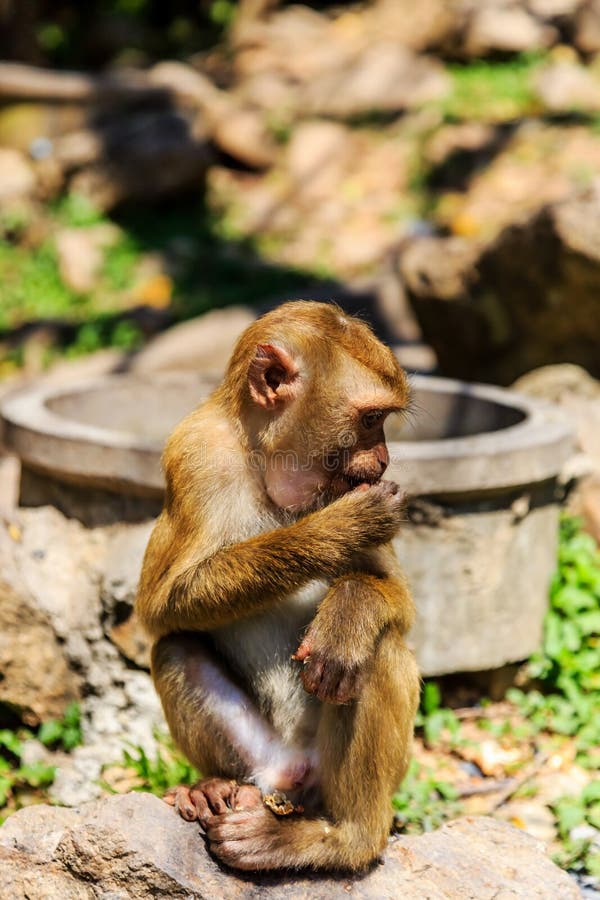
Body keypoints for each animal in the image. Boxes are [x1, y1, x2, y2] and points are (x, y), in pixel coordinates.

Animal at [136, 300, 420, 872]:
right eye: (370, 420)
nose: (382, 461)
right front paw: (336, 529)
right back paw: (218, 789)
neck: (264, 464)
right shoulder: (195, 455)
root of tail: (294, 773)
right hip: (266, 757)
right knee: (174, 647)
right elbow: (160, 605)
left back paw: (342, 839)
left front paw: (350, 611)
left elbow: (395, 604)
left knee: (374, 652)